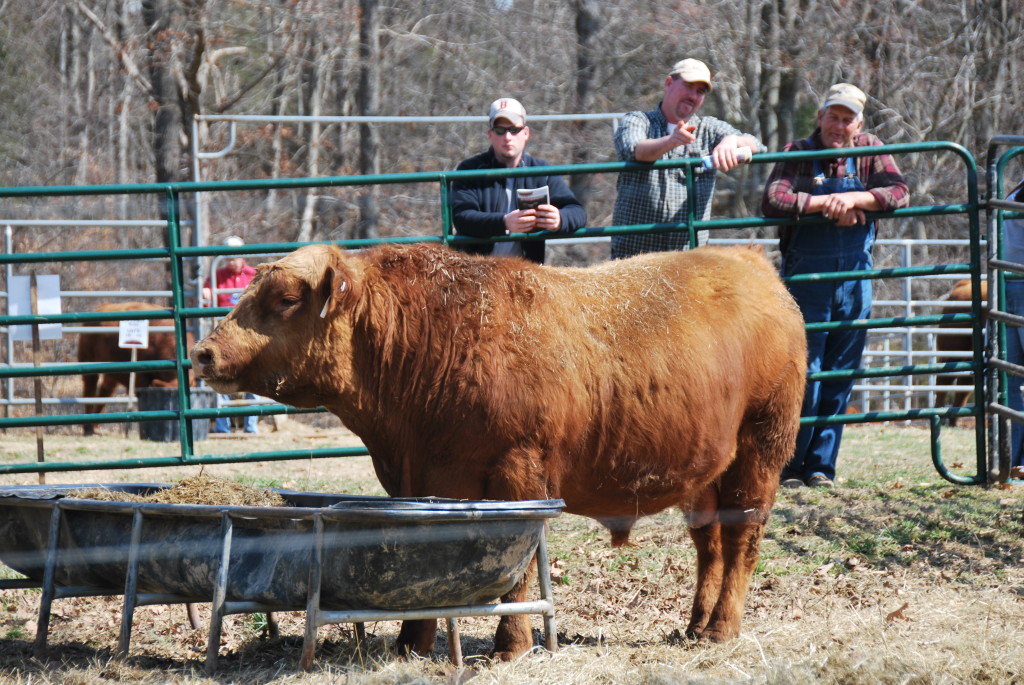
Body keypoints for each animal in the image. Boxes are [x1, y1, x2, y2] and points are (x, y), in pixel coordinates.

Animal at [78, 301, 193, 436]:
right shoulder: (140, 377)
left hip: (112, 371)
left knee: (104, 391)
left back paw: (96, 425)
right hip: (87, 360)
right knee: (89, 390)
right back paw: (88, 428)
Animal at [190, 242, 807, 660]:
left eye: (286, 298)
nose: (203, 352)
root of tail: (748, 260)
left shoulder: (520, 472)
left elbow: (520, 572)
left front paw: (511, 643)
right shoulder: (426, 482)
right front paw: (413, 643)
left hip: (760, 451)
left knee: (743, 540)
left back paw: (723, 628)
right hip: (706, 475)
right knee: (711, 545)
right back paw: (697, 625)